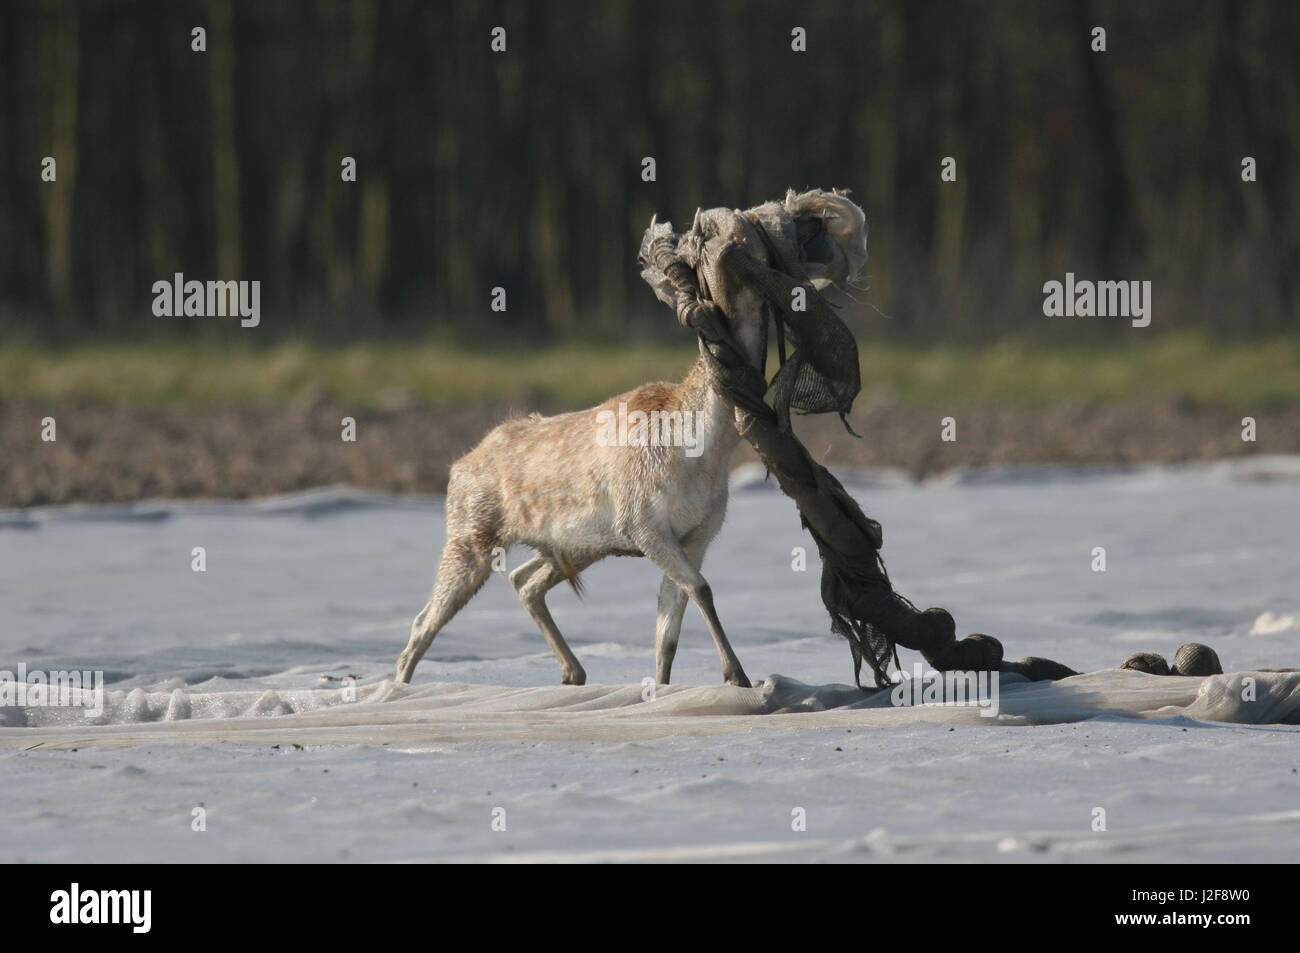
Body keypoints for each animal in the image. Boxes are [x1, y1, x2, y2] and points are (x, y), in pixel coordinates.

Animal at [394, 189, 869, 689]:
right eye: (725, 235)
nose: (818, 219)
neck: (700, 448)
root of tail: (458, 466)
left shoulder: (697, 534)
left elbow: (669, 632)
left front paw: (673, 687)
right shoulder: (643, 525)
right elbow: (700, 589)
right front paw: (738, 676)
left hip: (576, 547)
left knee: (524, 579)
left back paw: (574, 672)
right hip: (470, 537)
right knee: (424, 620)